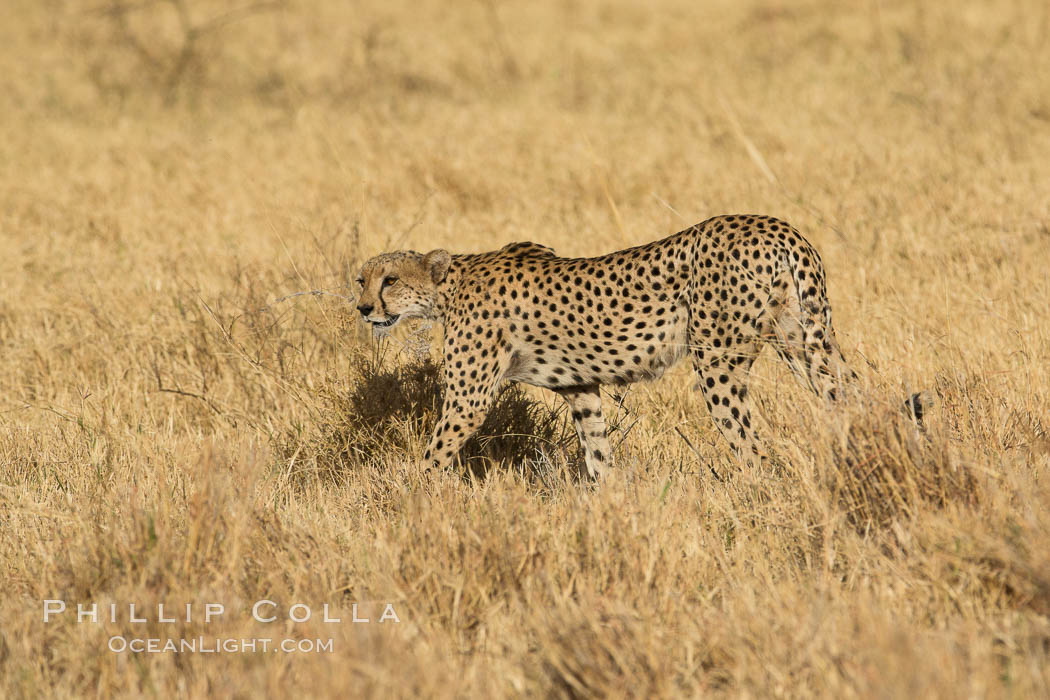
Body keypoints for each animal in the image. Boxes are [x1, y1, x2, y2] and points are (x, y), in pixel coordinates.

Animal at [354, 215, 922, 478]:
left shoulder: (468, 399)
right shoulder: (582, 388)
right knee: (861, 400)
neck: (449, 285)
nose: (362, 308)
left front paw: (410, 508)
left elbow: (434, 455)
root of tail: (777, 226)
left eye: (389, 281)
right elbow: (598, 453)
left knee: (754, 446)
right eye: (362, 279)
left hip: (718, 360)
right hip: (805, 344)